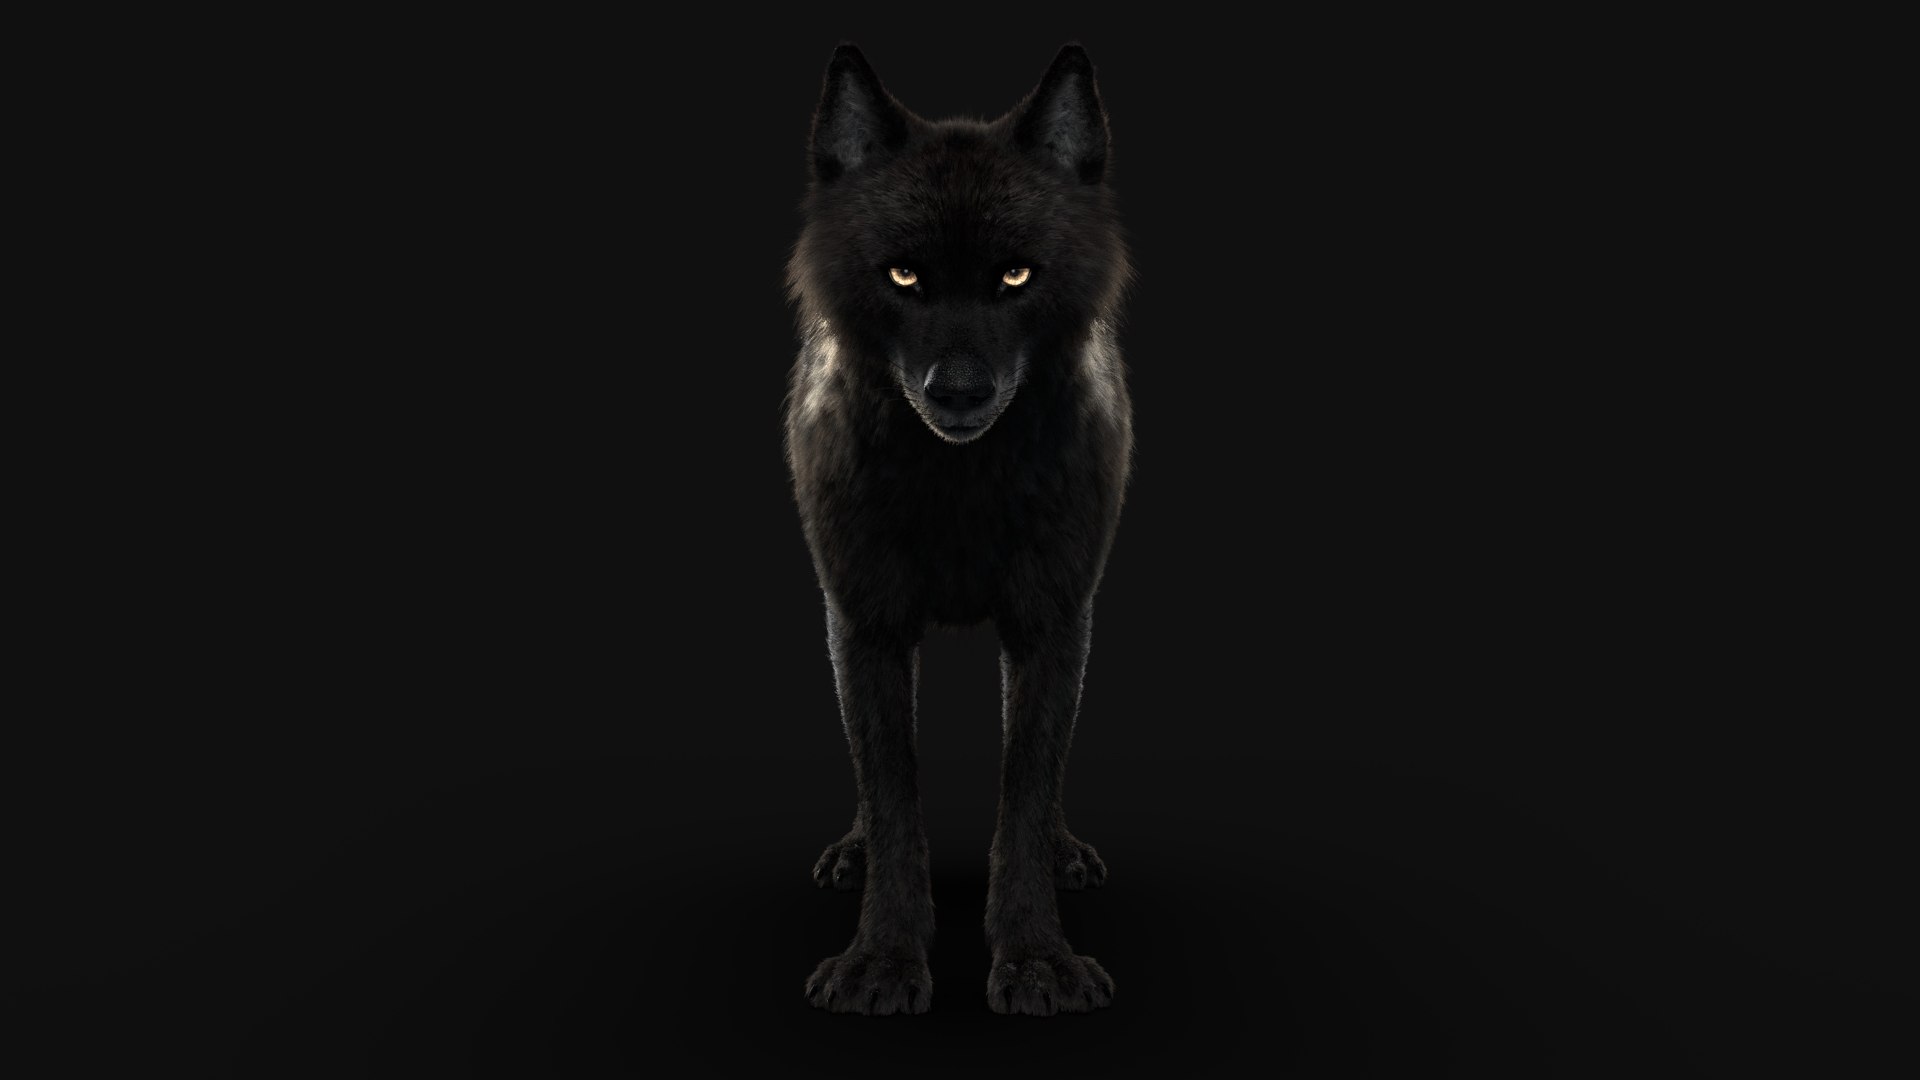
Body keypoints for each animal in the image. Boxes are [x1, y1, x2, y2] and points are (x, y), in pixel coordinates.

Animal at [783, 42, 1133, 1017]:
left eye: (1016, 276)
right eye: (904, 276)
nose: (961, 392)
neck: (960, 488)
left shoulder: (1054, 622)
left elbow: (1026, 792)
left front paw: (1038, 961)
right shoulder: (864, 623)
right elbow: (893, 796)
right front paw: (881, 963)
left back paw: (1068, 852)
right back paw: (849, 852)